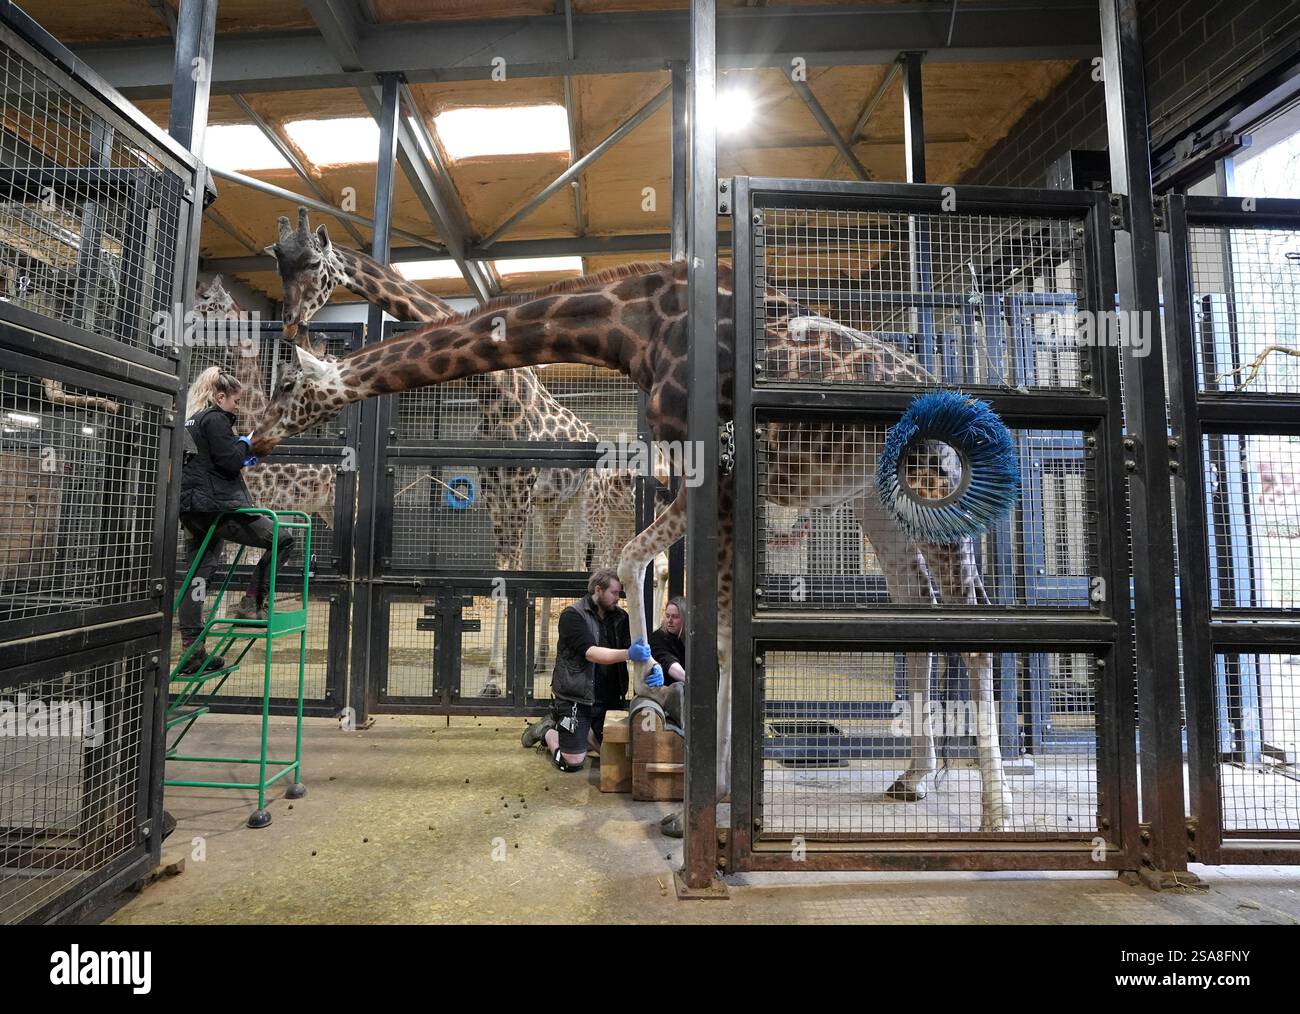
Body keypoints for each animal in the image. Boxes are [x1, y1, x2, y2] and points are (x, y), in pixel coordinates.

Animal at [247, 260, 1013, 832]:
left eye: (289, 386)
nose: (256, 437)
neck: (636, 329)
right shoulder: (695, 482)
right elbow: (640, 569)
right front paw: (651, 680)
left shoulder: (718, 472)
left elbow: (711, 619)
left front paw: (712, 795)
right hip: (876, 502)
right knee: (915, 610)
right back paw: (914, 778)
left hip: (935, 486)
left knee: (974, 620)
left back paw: (995, 814)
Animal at [263, 208, 635, 694]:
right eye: (280, 265)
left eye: (311, 263)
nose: (290, 322)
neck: (494, 390)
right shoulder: (497, 490)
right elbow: (508, 575)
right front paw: (502, 676)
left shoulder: (517, 489)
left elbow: (515, 578)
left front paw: (497, 681)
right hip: (546, 507)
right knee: (550, 562)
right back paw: (539, 659)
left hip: (579, 502)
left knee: (573, 563)